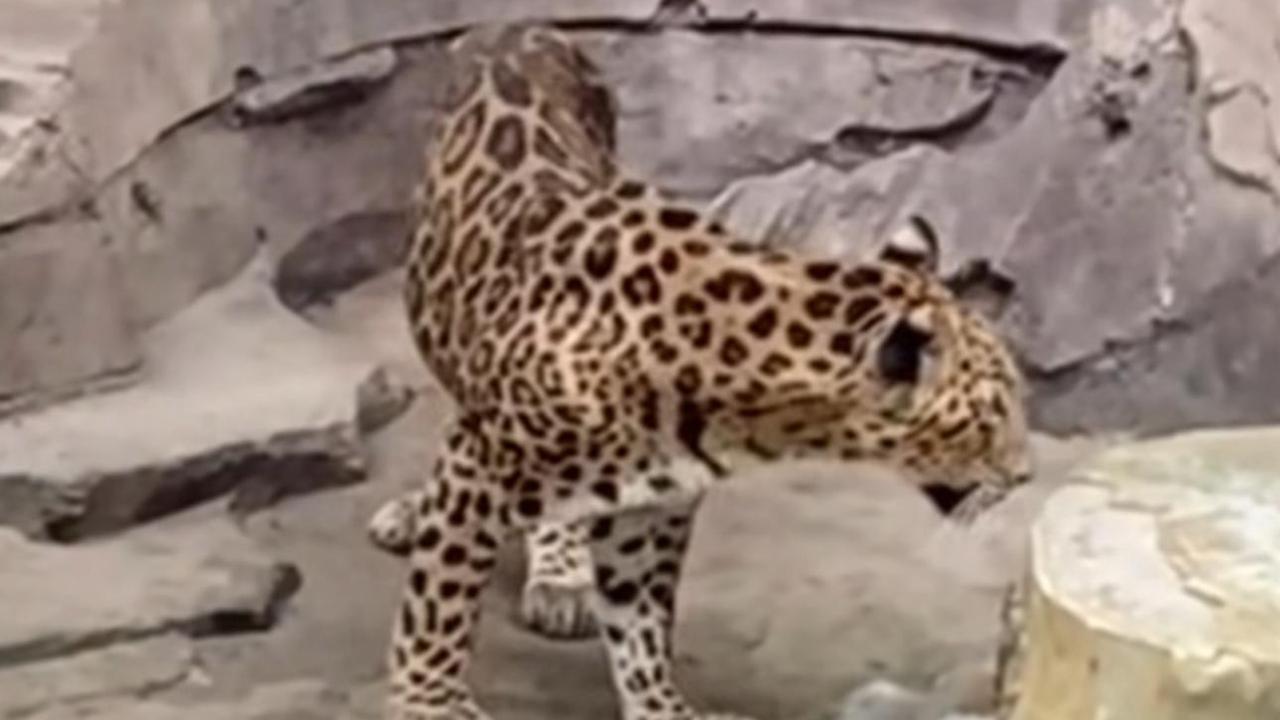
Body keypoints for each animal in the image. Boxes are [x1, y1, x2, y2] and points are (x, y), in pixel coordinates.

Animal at [371, 23, 1033, 720]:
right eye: (990, 416)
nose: (1025, 477)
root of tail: (519, 28)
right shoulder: (481, 462)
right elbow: (440, 602)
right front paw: (430, 699)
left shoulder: (655, 507)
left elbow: (640, 621)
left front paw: (659, 703)